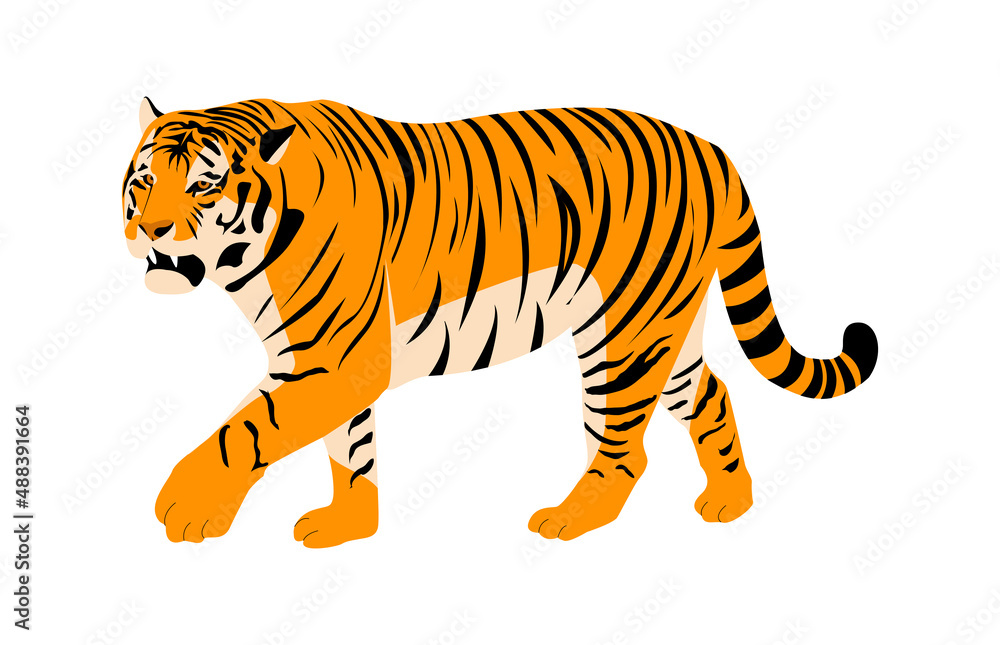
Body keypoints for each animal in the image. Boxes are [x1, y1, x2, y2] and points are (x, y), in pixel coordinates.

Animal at [122, 96, 877, 548]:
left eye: (203, 186)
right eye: (144, 180)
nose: (150, 228)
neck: (249, 264)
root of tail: (708, 148)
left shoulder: (337, 359)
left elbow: (247, 429)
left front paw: (186, 505)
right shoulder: (317, 362)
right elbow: (344, 446)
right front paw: (347, 525)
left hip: (626, 331)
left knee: (624, 446)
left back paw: (571, 519)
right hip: (665, 327)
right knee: (710, 394)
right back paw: (730, 501)